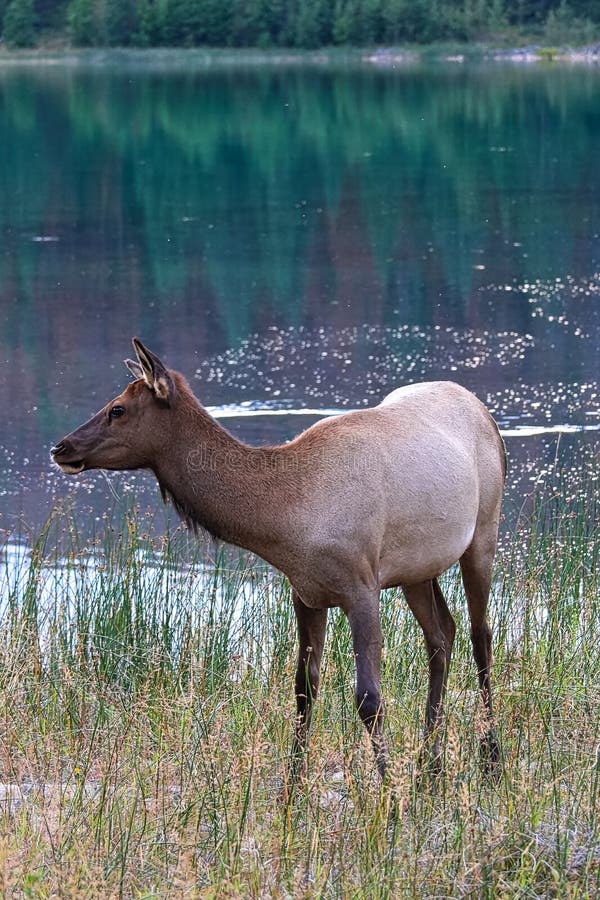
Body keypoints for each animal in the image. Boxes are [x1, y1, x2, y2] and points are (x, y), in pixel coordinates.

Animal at [51, 337, 506, 788]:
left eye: (117, 409)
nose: (60, 447)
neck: (287, 517)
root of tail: (483, 410)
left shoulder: (362, 586)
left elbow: (369, 698)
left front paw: (389, 791)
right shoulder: (305, 593)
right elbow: (304, 688)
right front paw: (293, 788)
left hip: (484, 532)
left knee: (480, 635)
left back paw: (491, 758)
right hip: (418, 569)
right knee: (442, 635)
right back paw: (430, 764)